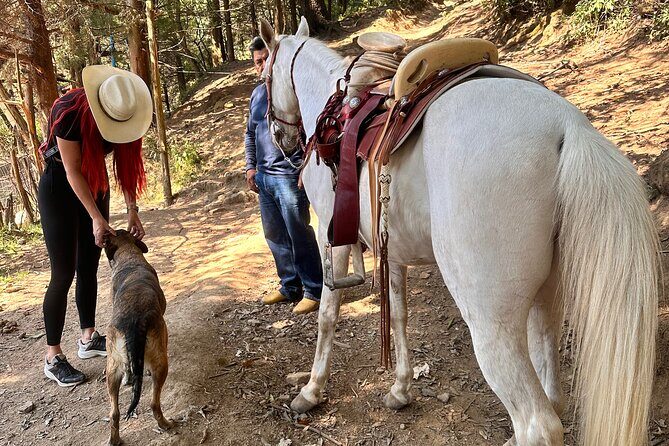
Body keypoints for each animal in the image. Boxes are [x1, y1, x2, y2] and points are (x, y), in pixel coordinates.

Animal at [258, 17, 660, 446]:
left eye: (264, 77)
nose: (280, 139)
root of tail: (566, 125)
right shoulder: (392, 251)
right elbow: (399, 314)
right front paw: (400, 389)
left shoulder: (331, 237)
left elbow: (328, 315)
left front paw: (311, 390)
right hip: (547, 296)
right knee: (554, 396)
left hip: (490, 318)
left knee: (538, 422)